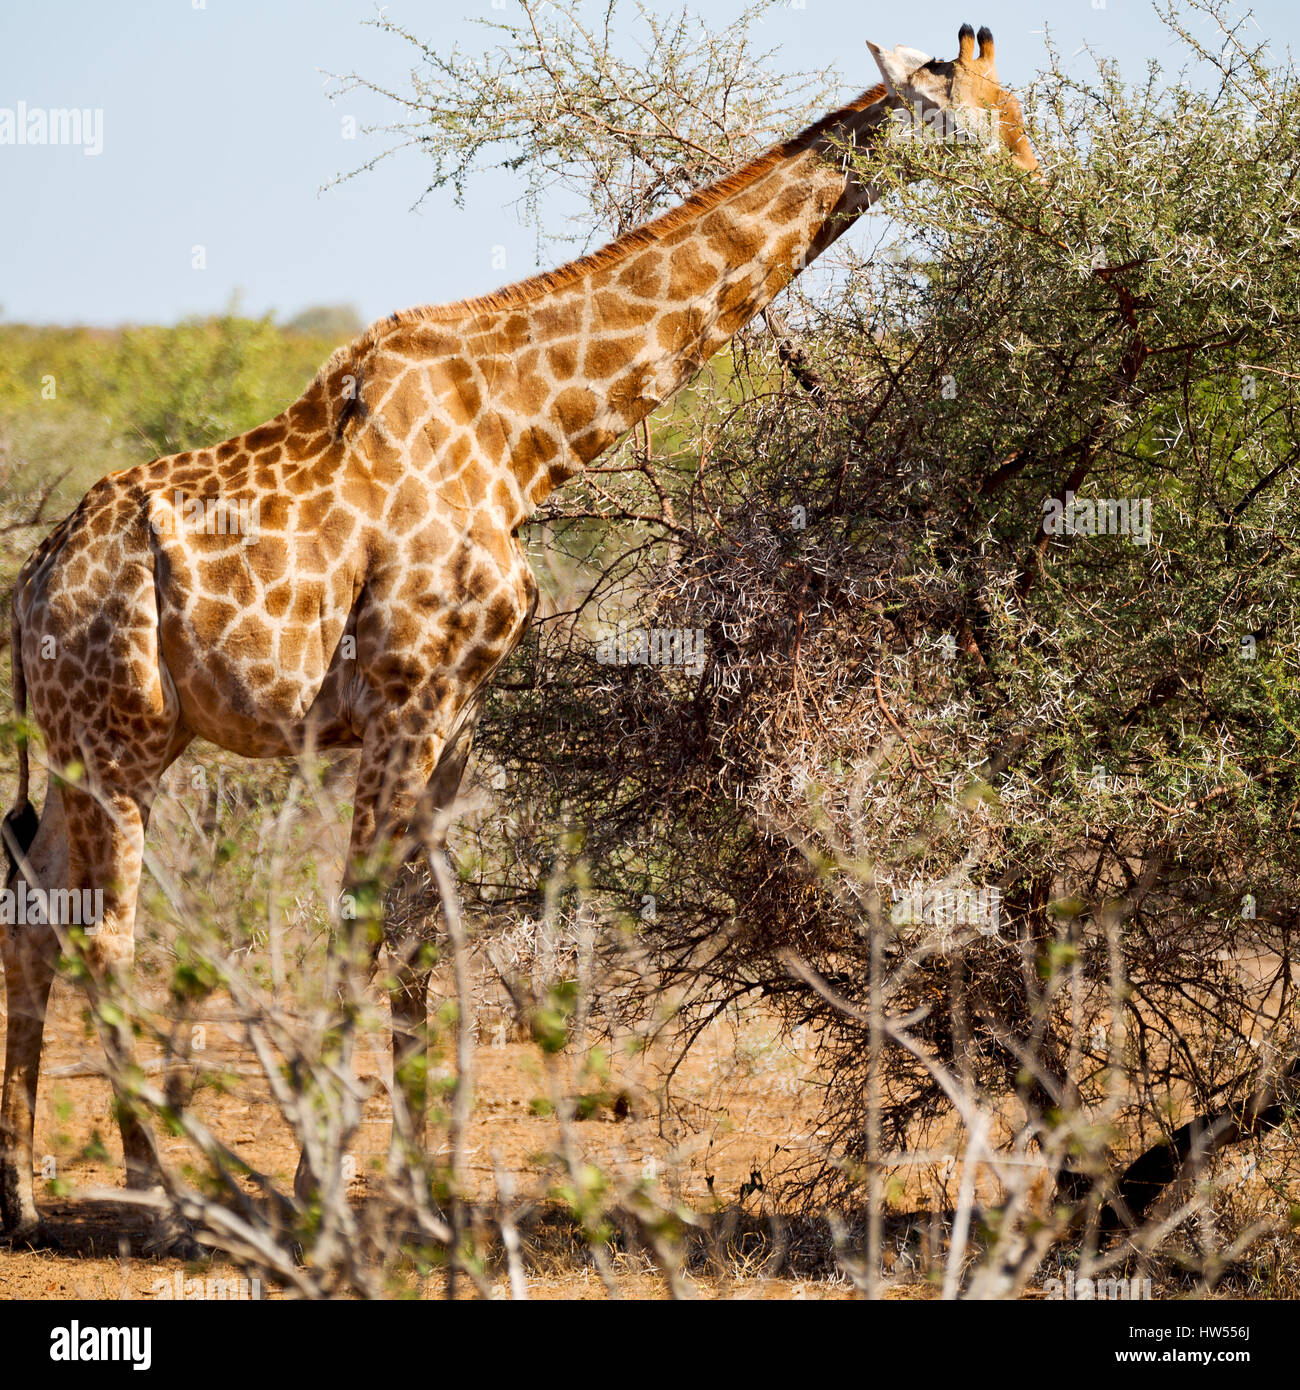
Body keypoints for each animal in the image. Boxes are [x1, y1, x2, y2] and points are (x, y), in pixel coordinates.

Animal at [0, 26, 1038, 1241]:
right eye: (969, 120)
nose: (1041, 197)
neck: (526, 436)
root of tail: (33, 583)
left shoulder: (456, 716)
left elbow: (409, 941)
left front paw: (419, 1187)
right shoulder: (405, 697)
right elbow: (356, 928)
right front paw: (320, 1186)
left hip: (93, 740)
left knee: (32, 916)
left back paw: (24, 1196)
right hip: (114, 741)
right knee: (103, 932)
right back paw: (161, 1192)